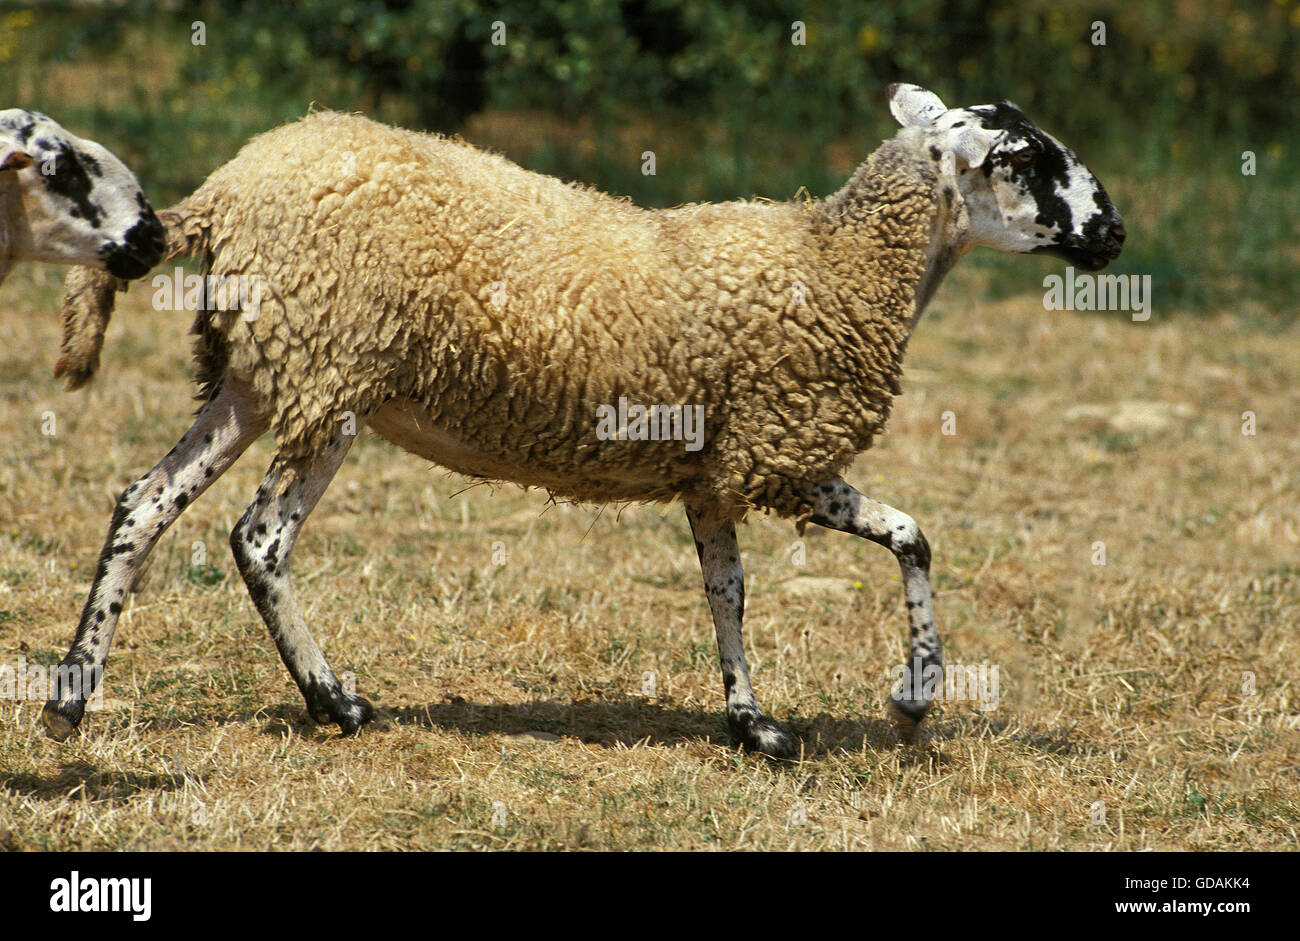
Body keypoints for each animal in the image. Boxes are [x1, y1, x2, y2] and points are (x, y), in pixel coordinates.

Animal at [41, 84, 1124, 757]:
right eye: (1021, 157)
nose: (1112, 230)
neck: (845, 264)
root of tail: (224, 190)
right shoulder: (780, 450)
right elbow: (912, 539)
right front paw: (912, 698)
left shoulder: (716, 471)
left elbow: (729, 590)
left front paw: (754, 724)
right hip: (329, 372)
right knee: (259, 537)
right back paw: (334, 699)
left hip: (259, 371)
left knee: (144, 504)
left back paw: (69, 698)